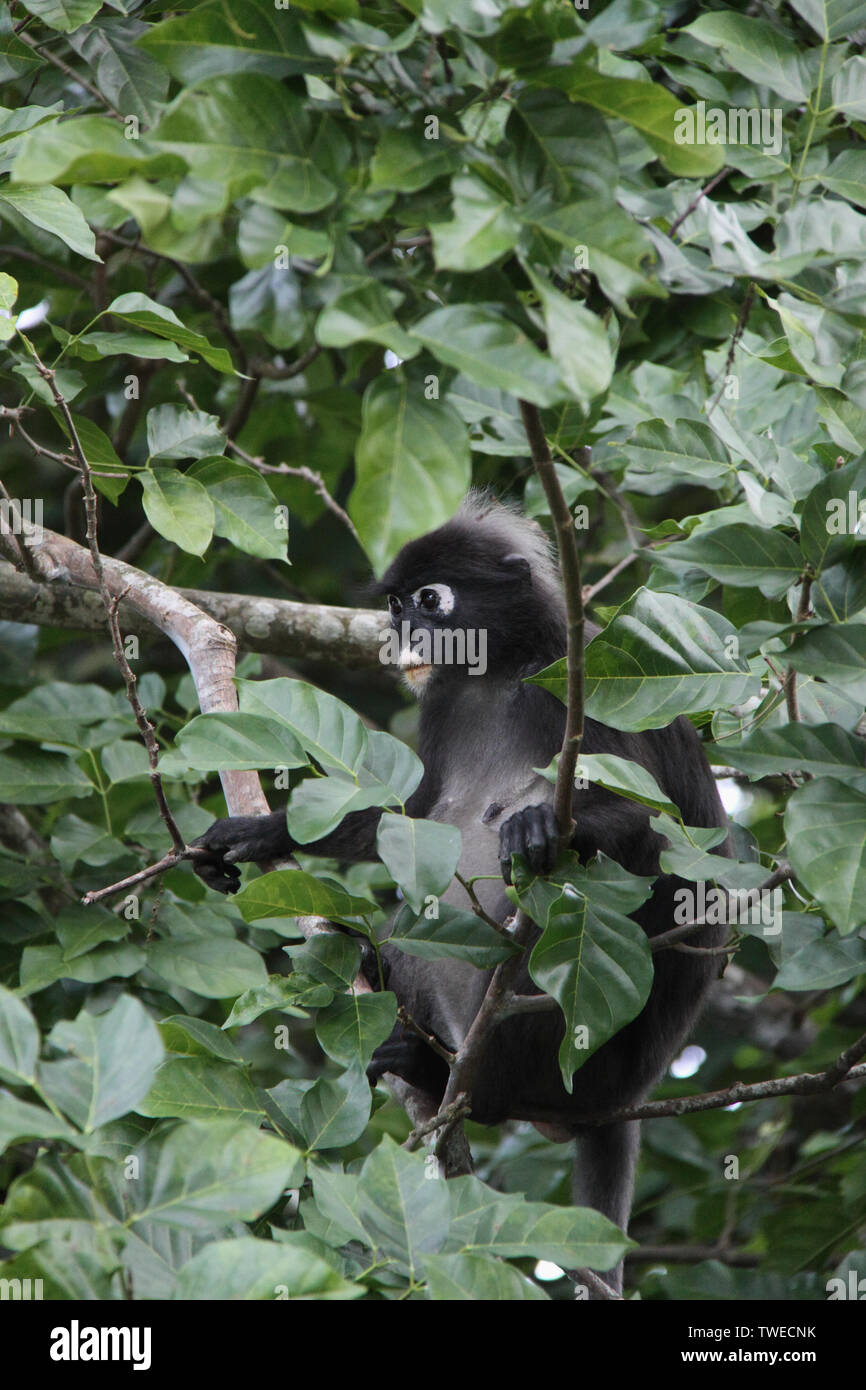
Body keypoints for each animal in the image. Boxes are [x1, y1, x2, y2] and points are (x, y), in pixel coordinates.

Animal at [193, 494, 730, 1288]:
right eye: (393, 606)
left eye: (429, 600)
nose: (404, 633)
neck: (497, 675)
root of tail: (623, 1099)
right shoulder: (442, 704)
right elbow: (411, 820)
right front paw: (262, 834)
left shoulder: (582, 688)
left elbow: (660, 840)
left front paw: (543, 823)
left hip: (583, 1066)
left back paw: (461, 1080)